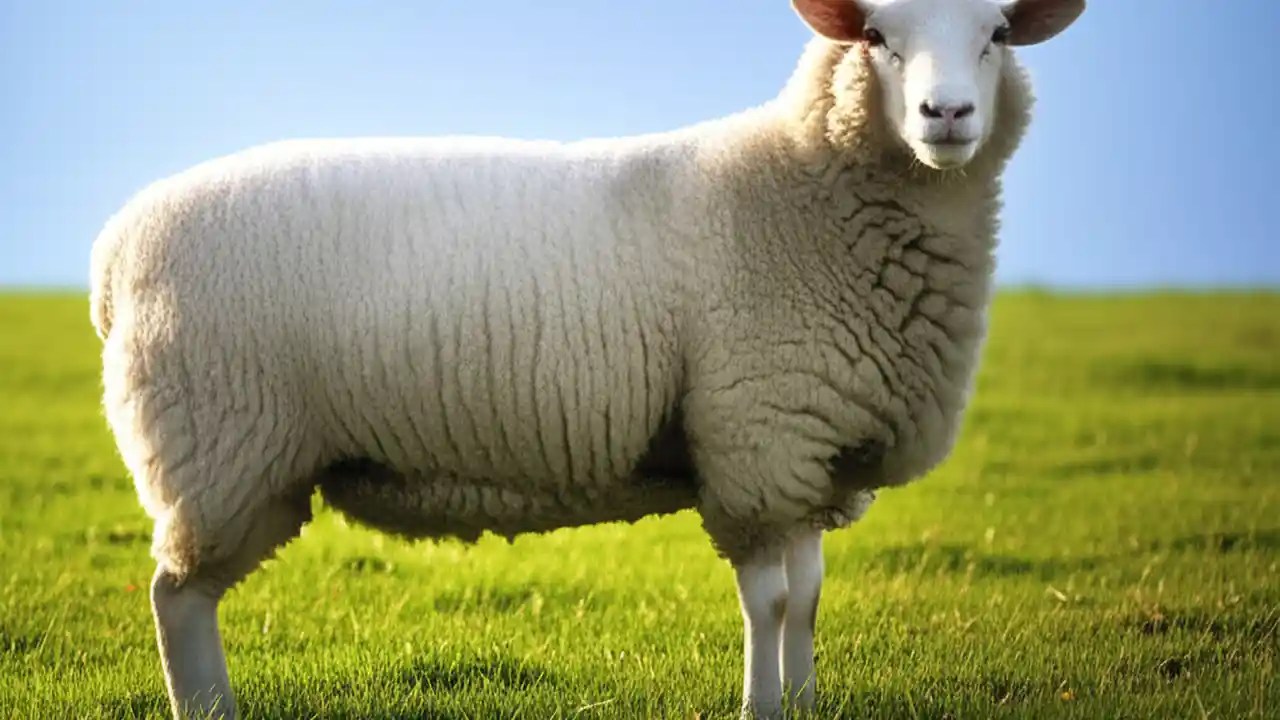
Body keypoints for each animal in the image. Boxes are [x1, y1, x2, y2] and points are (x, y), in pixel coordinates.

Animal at [89, 0, 1085, 717]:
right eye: (877, 35)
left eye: (998, 33)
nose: (946, 114)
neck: (808, 189)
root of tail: (114, 247)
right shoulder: (756, 436)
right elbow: (766, 603)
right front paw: (764, 708)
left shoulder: (805, 443)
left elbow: (805, 597)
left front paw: (804, 703)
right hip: (220, 447)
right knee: (178, 599)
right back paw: (208, 709)